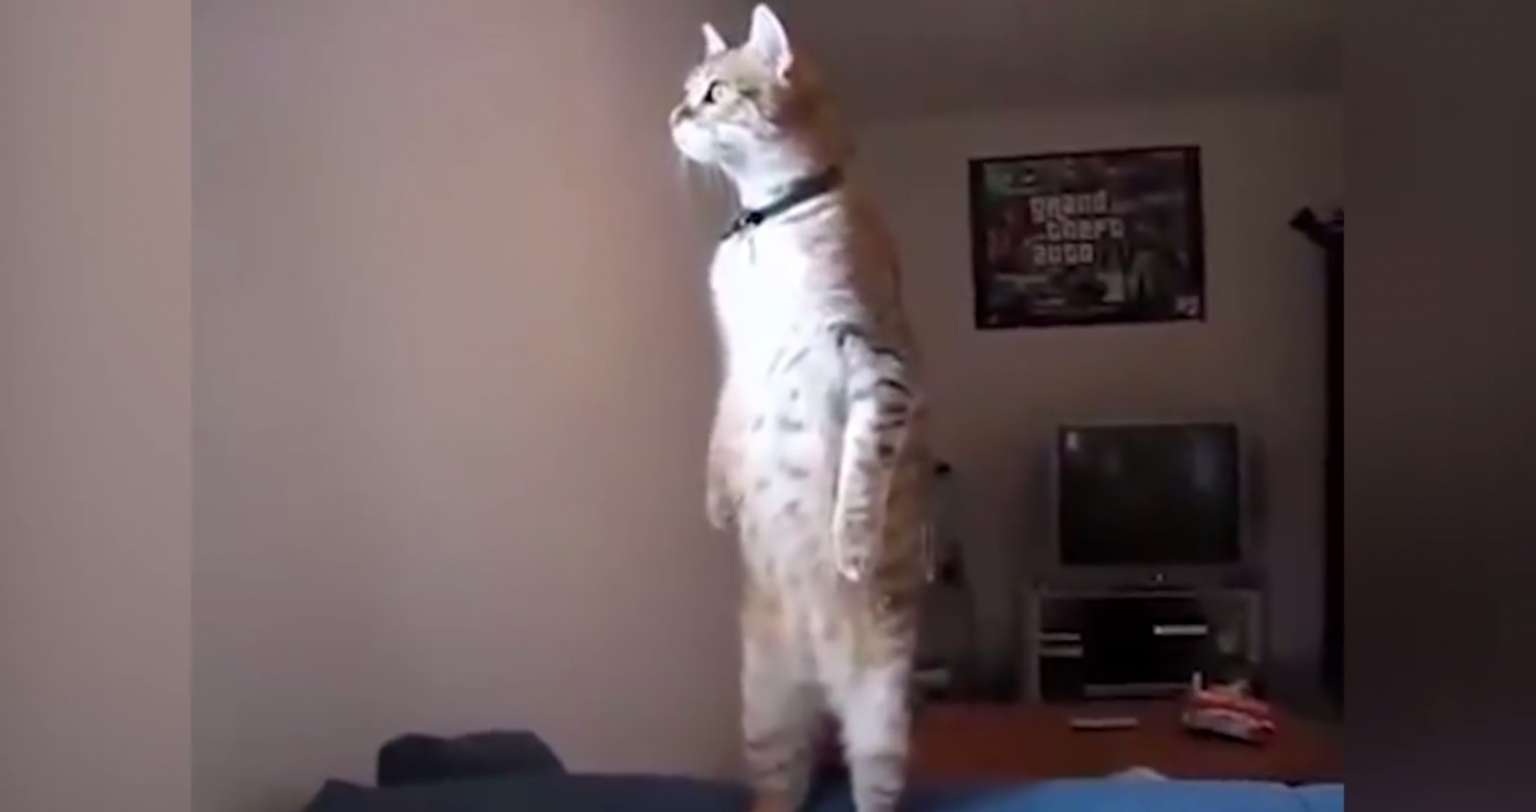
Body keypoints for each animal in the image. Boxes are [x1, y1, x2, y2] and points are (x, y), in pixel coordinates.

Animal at [669, 6, 930, 812]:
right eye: (686, 90)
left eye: (715, 92)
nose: (673, 115)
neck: (767, 222)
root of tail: (818, 669)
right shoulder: (738, 364)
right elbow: (721, 430)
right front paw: (717, 499)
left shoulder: (879, 363)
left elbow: (862, 471)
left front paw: (850, 543)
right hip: (765, 713)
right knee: (776, 789)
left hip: (881, 718)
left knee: (873, 784)